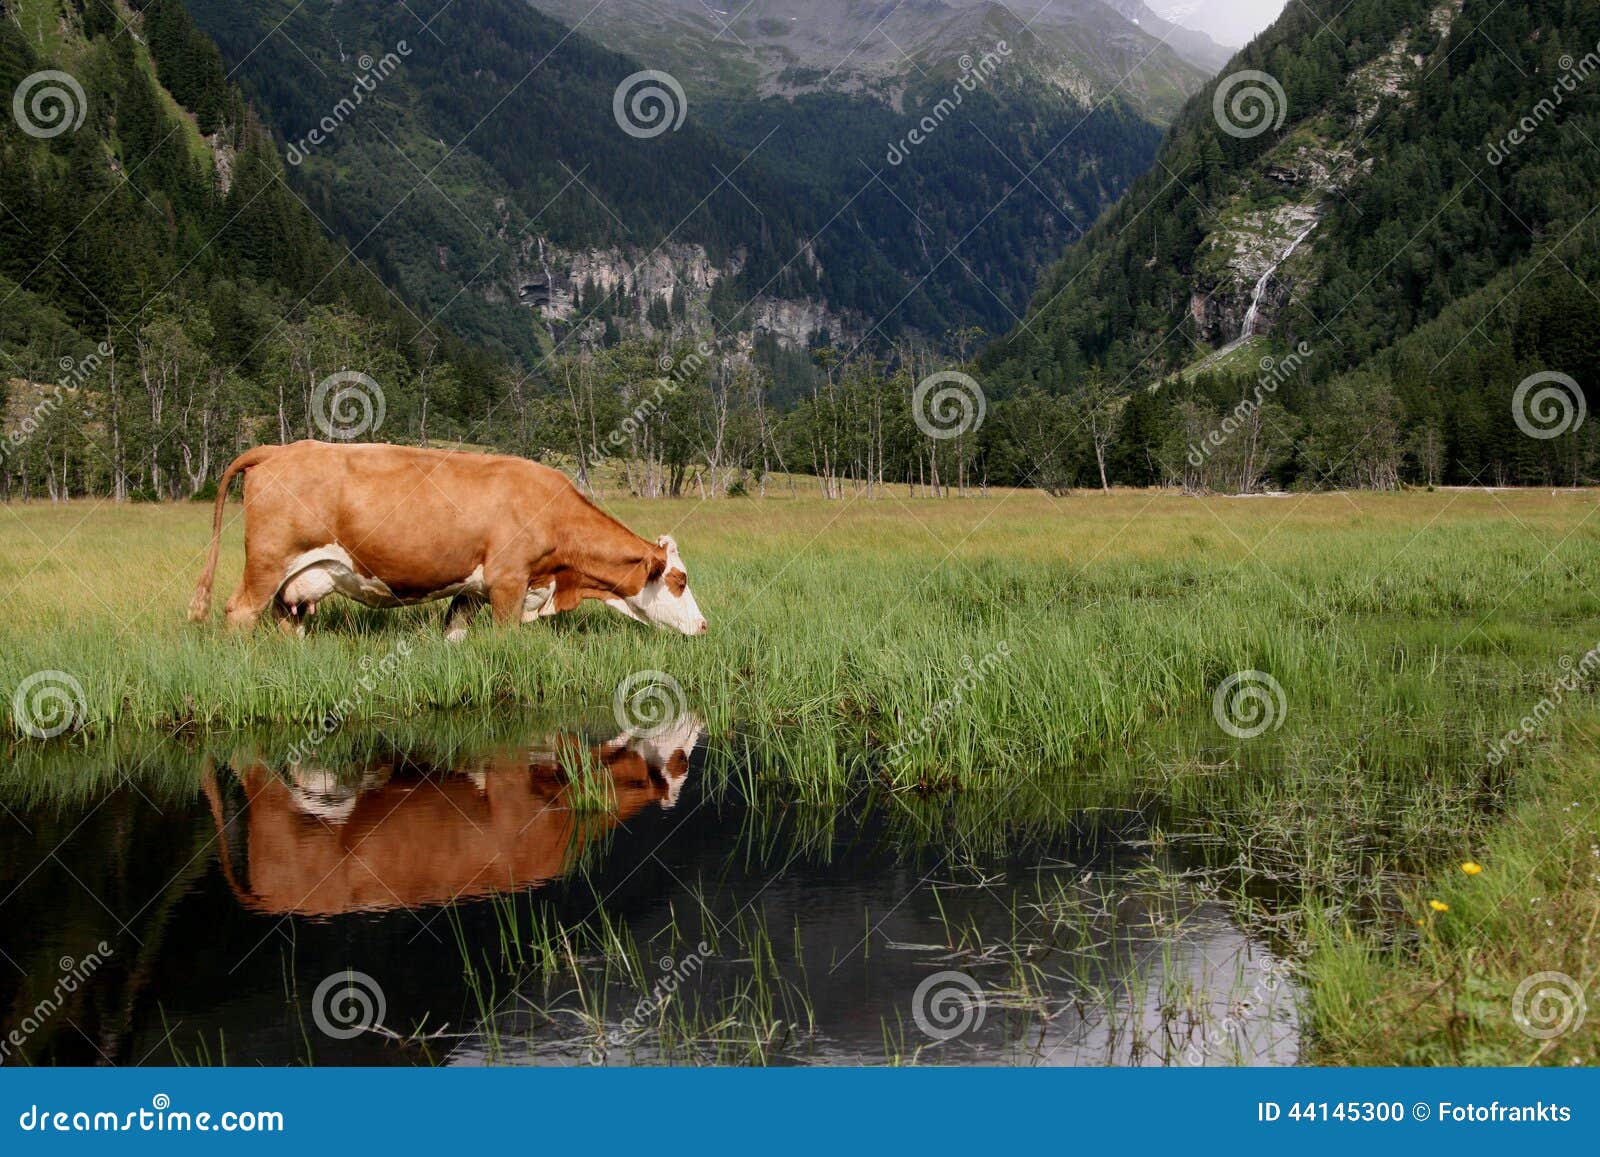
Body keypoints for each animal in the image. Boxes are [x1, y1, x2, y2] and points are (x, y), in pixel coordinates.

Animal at [186, 441, 707, 638]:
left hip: (293, 583)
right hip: (266, 564)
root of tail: (281, 448)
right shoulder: (507, 583)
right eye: (680, 580)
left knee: (286, 619)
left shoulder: (470, 592)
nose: (704, 626)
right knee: (239, 613)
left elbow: (454, 633)